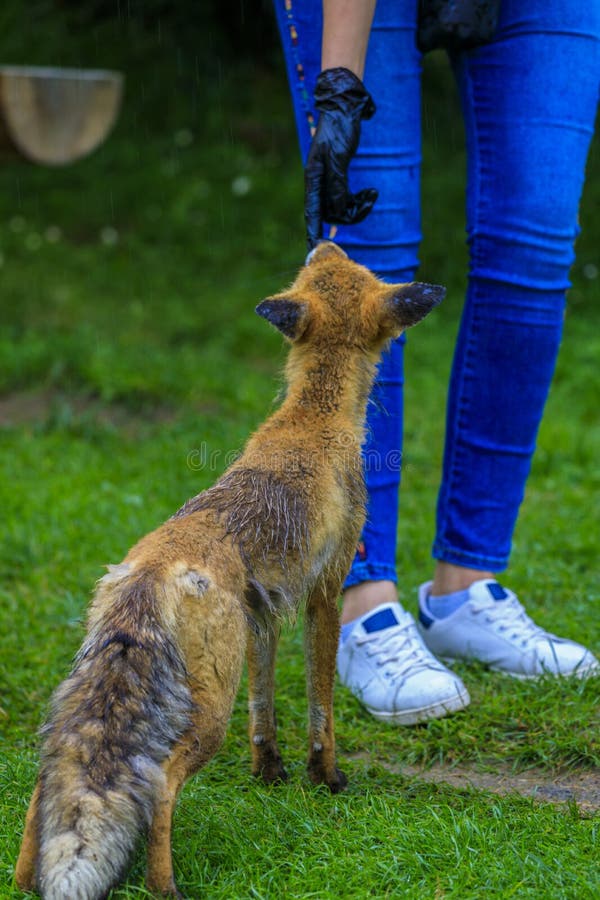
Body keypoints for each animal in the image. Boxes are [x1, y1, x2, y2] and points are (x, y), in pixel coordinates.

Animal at [15, 240, 444, 899]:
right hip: (207, 709)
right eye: (355, 266)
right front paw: (326, 779)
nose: (326, 238)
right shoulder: (326, 593)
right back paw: (165, 887)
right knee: (158, 783)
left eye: (325, 266)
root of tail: (152, 570)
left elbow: (263, 711)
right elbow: (321, 705)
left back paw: (21, 881)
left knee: (47, 779)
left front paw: (270, 772)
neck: (311, 419)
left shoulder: (262, 613)